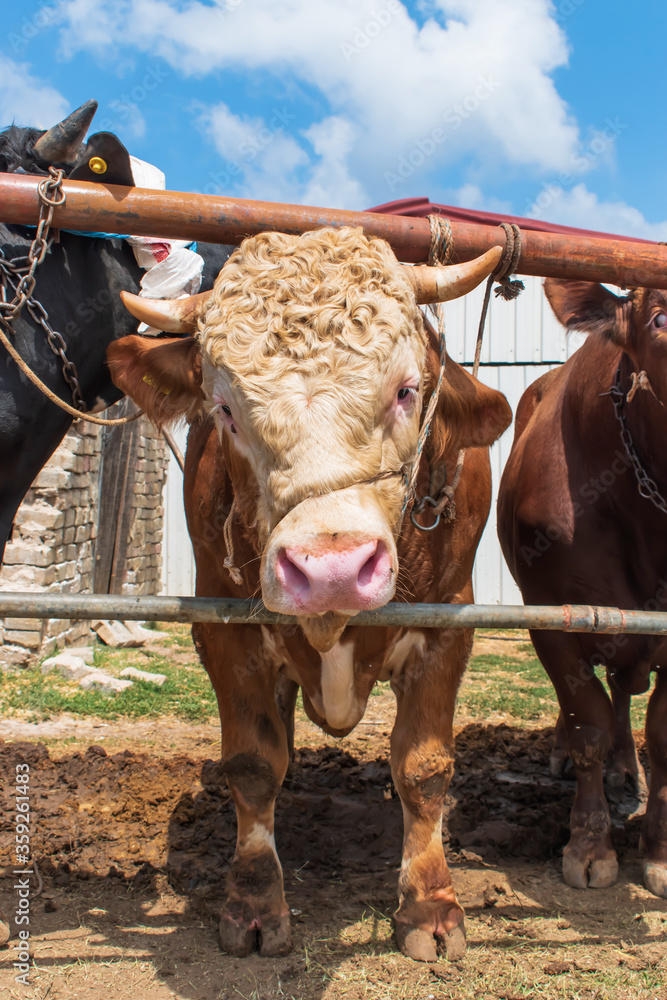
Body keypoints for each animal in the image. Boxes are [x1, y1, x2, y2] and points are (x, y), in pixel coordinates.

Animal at [107, 225, 512, 961]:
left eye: (406, 390)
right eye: (224, 409)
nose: (331, 568)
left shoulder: (448, 628)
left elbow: (423, 766)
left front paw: (431, 906)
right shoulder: (225, 634)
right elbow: (252, 762)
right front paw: (253, 901)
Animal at [497, 277, 667, 900]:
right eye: (660, 319)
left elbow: (660, 732)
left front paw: (658, 851)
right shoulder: (553, 616)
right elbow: (586, 720)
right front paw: (590, 846)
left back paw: (626, 769)